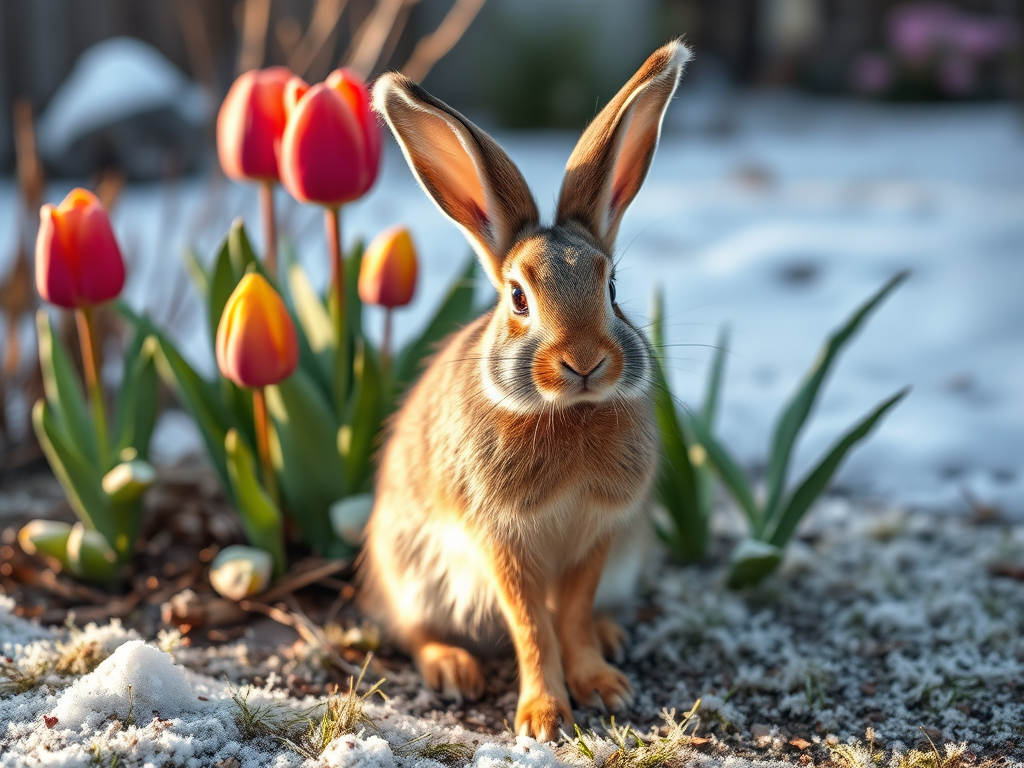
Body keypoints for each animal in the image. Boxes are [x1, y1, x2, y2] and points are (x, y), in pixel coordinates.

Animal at [359, 40, 691, 742]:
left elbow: (571, 614)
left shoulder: (600, 534)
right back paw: (452, 668)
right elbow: (531, 623)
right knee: (412, 631)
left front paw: (604, 687)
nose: (586, 361)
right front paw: (543, 719)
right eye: (517, 297)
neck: (570, 412)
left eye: (612, 287)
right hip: (411, 572)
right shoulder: (502, 541)